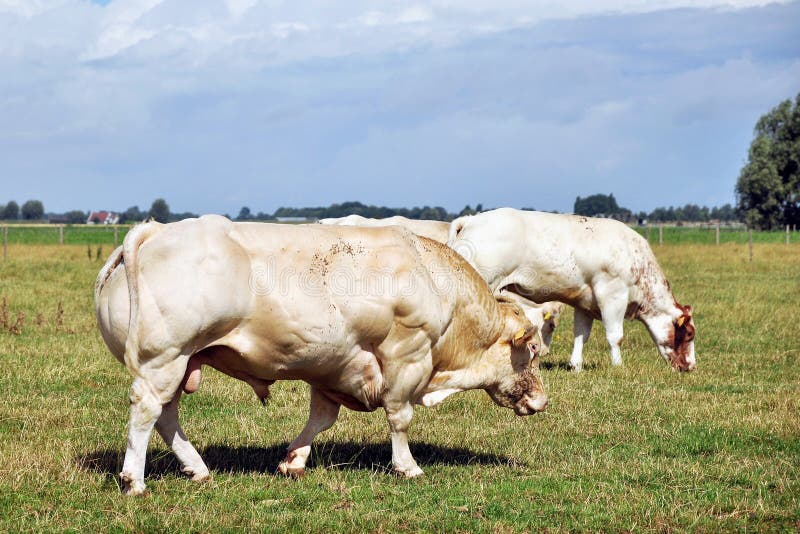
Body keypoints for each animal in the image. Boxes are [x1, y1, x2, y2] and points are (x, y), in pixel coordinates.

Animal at [95, 215, 547, 495]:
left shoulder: (333, 366)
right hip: (164, 359)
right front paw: (408, 466)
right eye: (532, 350)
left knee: (166, 417)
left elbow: (321, 420)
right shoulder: (407, 357)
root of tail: (154, 231)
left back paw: (198, 469)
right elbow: (400, 418)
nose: (543, 400)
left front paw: (293, 461)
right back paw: (134, 480)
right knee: (146, 412)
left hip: (181, 362)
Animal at [448, 208, 696, 372]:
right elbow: (615, 336)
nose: (691, 366)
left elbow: (581, 336)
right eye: (689, 335)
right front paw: (618, 365)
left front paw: (576, 365)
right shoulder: (612, 296)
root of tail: (471, 220)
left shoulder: (585, 303)